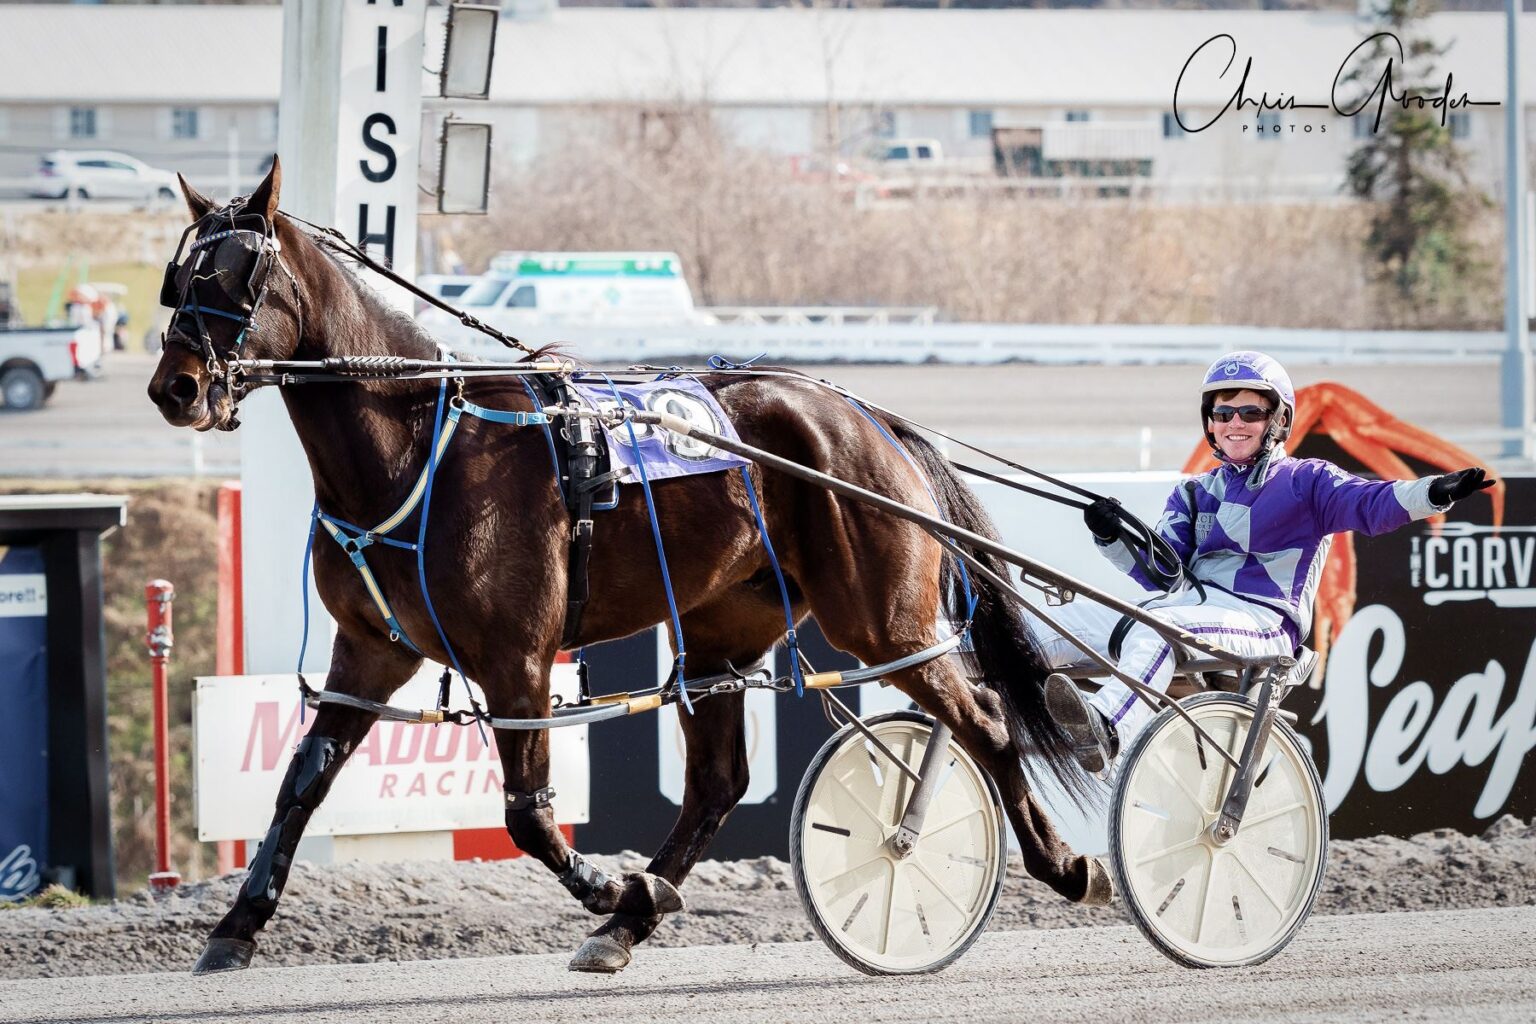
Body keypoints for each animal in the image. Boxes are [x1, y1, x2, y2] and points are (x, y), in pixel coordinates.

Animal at [147, 158, 1111, 977]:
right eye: (176, 277)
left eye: (232, 276)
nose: (175, 388)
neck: (420, 447)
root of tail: (869, 416)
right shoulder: (369, 649)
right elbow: (299, 786)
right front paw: (235, 927)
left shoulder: (517, 659)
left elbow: (527, 813)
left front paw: (609, 881)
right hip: (725, 627)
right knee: (720, 781)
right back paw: (628, 922)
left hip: (883, 619)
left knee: (985, 719)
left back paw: (1066, 864)